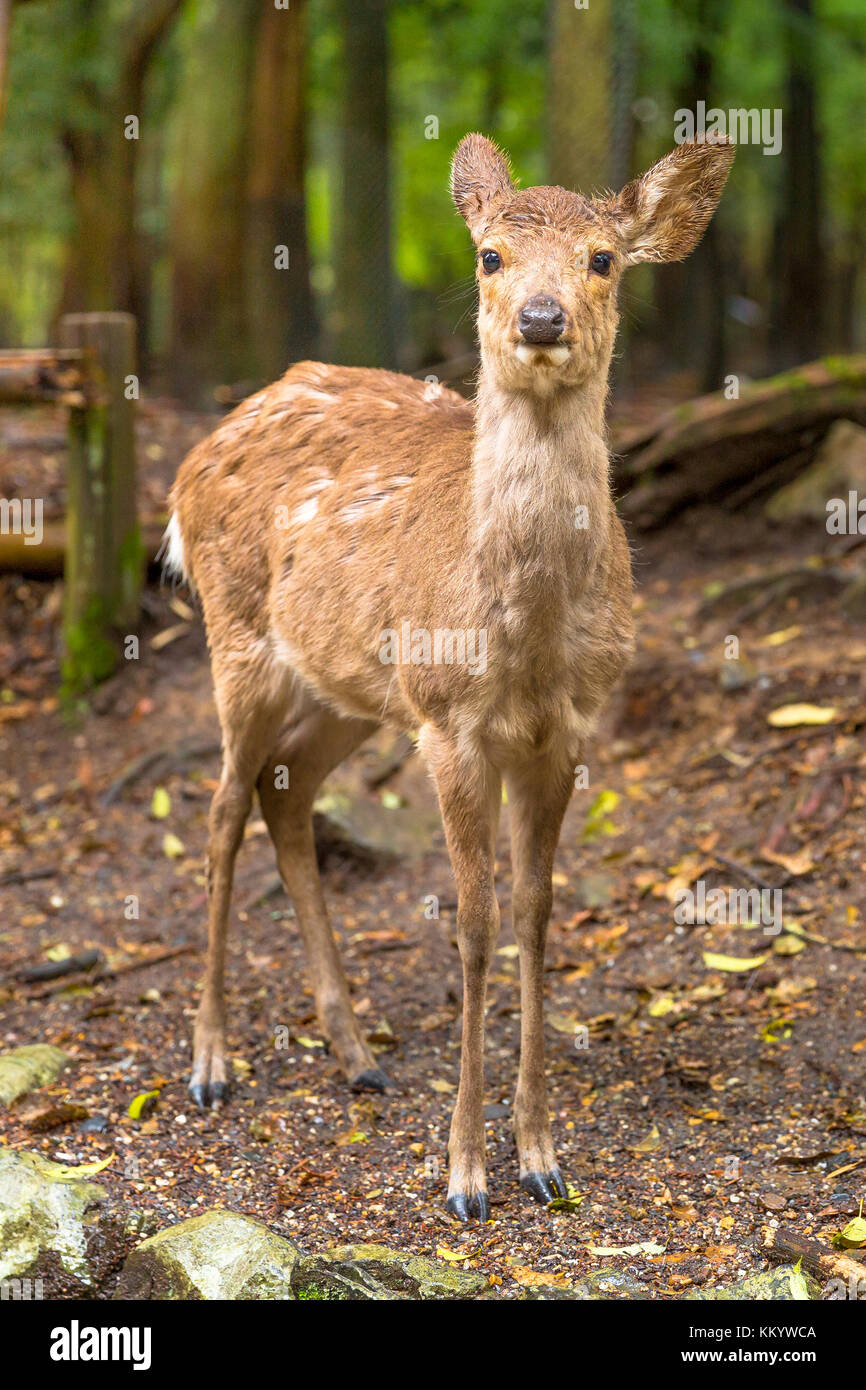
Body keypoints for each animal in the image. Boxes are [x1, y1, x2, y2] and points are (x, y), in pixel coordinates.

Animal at [165, 132, 733, 1220]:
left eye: (603, 259)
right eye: (489, 255)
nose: (542, 318)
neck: (523, 639)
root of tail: (193, 457)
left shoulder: (566, 729)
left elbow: (538, 913)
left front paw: (543, 1156)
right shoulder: (451, 723)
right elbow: (472, 923)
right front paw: (466, 1174)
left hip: (349, 688)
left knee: (283, 794)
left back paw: (356, 1053)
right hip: (238, 634)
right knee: (216, 811)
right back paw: (209, 1064)